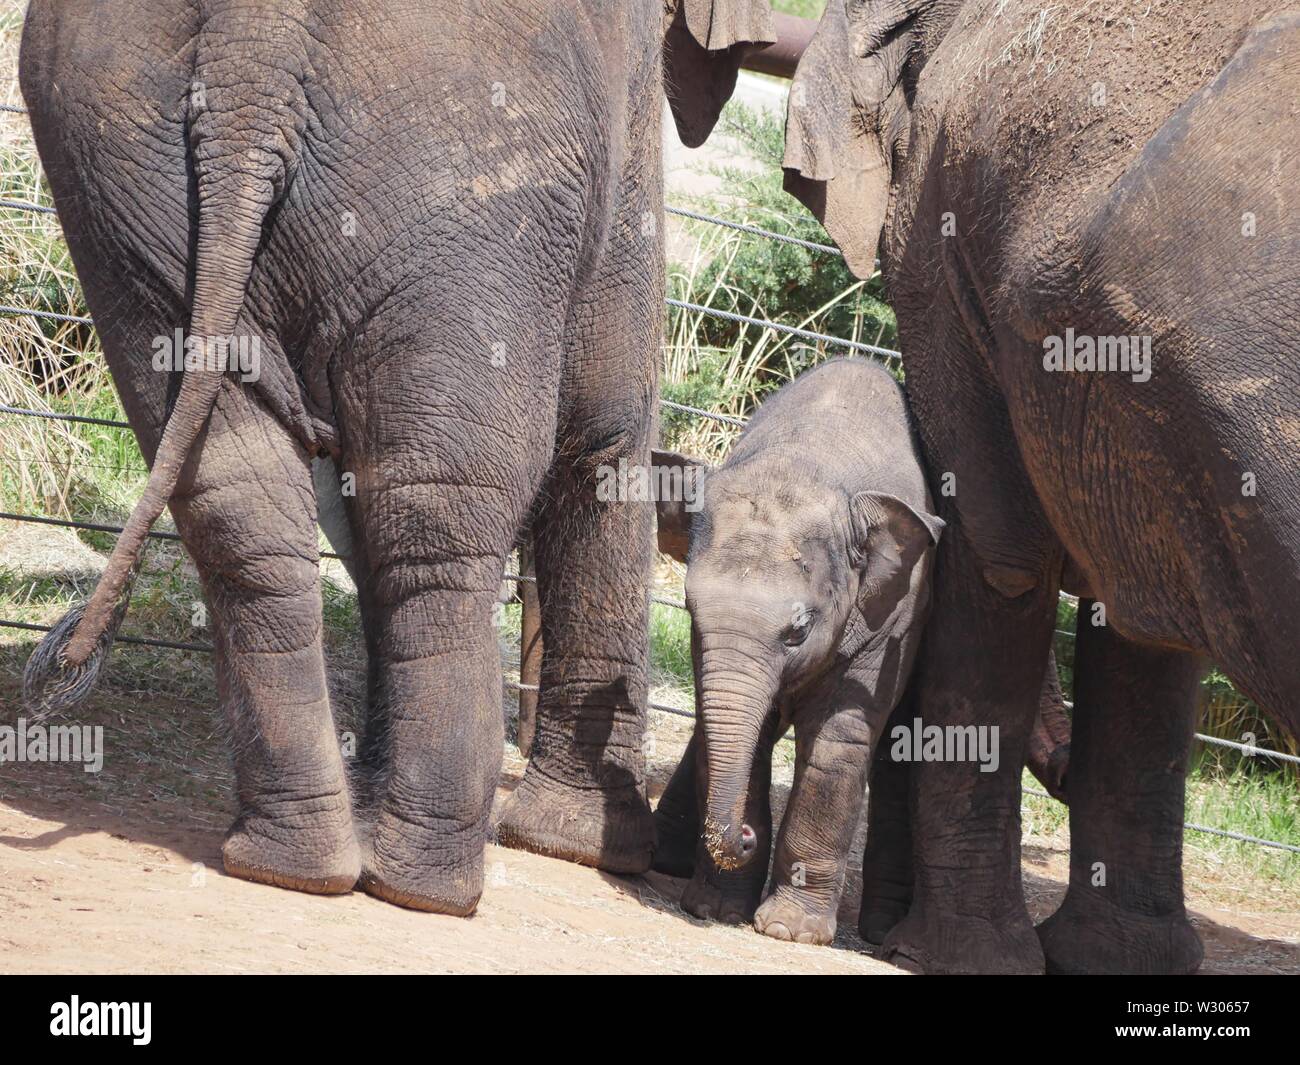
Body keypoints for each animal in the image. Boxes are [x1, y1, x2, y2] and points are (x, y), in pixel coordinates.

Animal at [18, 0, 776, 916]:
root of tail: (254, 43)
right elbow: (606, 429)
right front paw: (588, 847)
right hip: (464, 172)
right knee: (440, 508)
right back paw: (428, 887)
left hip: (116, 163)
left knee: (241, 496)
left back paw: (293, 865)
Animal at [647, 358, 1072, 945]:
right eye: (688, 607)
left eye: (799, 629)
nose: (749, 835)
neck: (808, 459)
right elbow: (741, 730)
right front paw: (716, 910)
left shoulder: (893, 614)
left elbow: (839, 737)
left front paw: (790, 931)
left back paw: (881, 929)